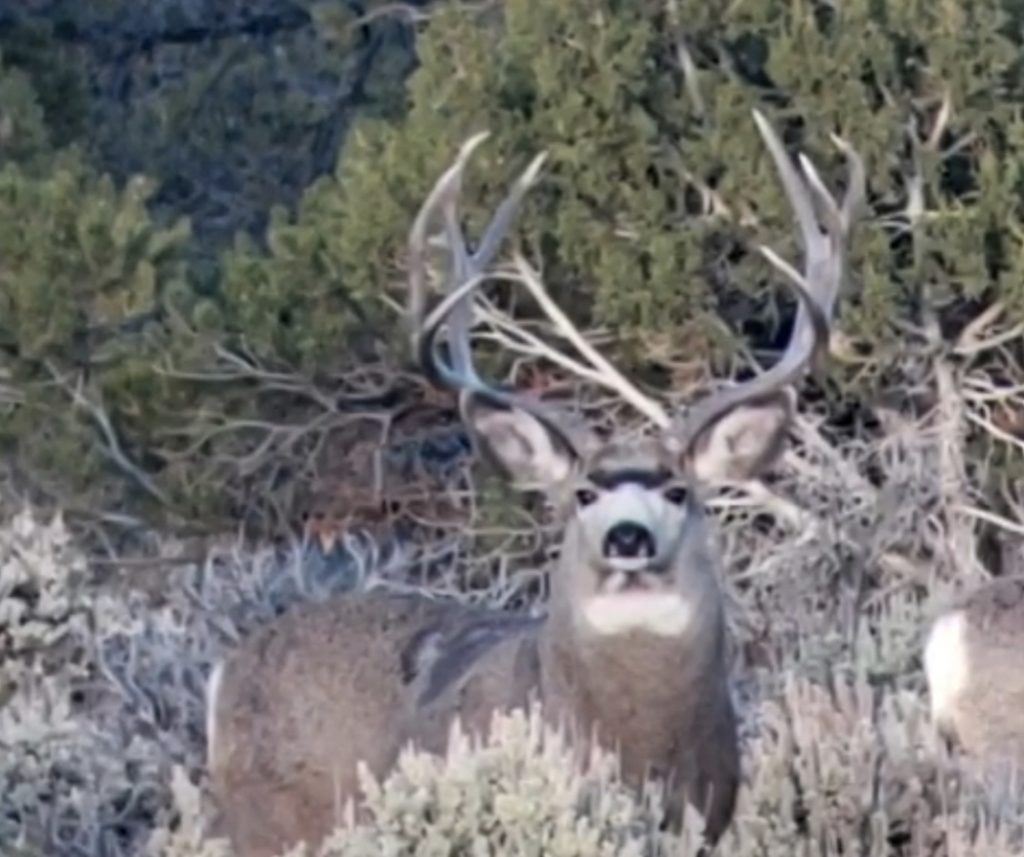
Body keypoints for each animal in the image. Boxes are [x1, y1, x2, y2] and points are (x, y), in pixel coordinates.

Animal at [205, 111, 864, 857]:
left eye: (678, 490)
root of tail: (224, 673)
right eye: (583, 493)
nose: (627, 536)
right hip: (270, 824)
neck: (642, 749)